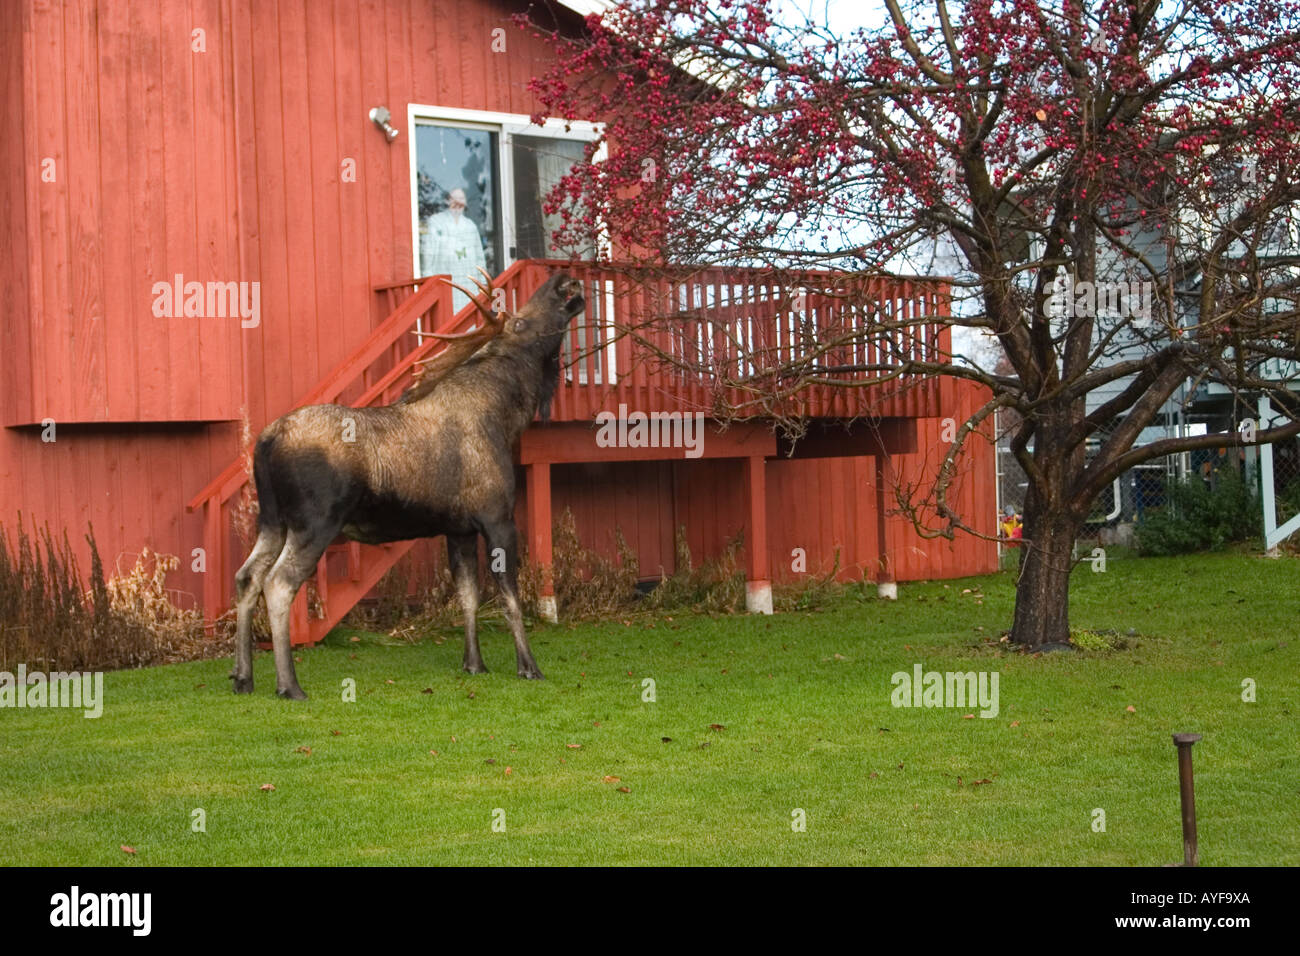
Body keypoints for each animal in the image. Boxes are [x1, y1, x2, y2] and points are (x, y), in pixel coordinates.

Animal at [230, 270, 585, 699]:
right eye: (519, 322)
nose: (563, 280)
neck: (506, 416)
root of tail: (266, 441)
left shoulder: (458, 528)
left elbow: (468, 597)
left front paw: (474, 664)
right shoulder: (498, 516)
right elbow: (510, 599)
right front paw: (529, 667)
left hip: (271, 520)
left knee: (246, 576)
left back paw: (243, 677)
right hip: (315, 521)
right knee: (279, 583)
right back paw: (289, 685)